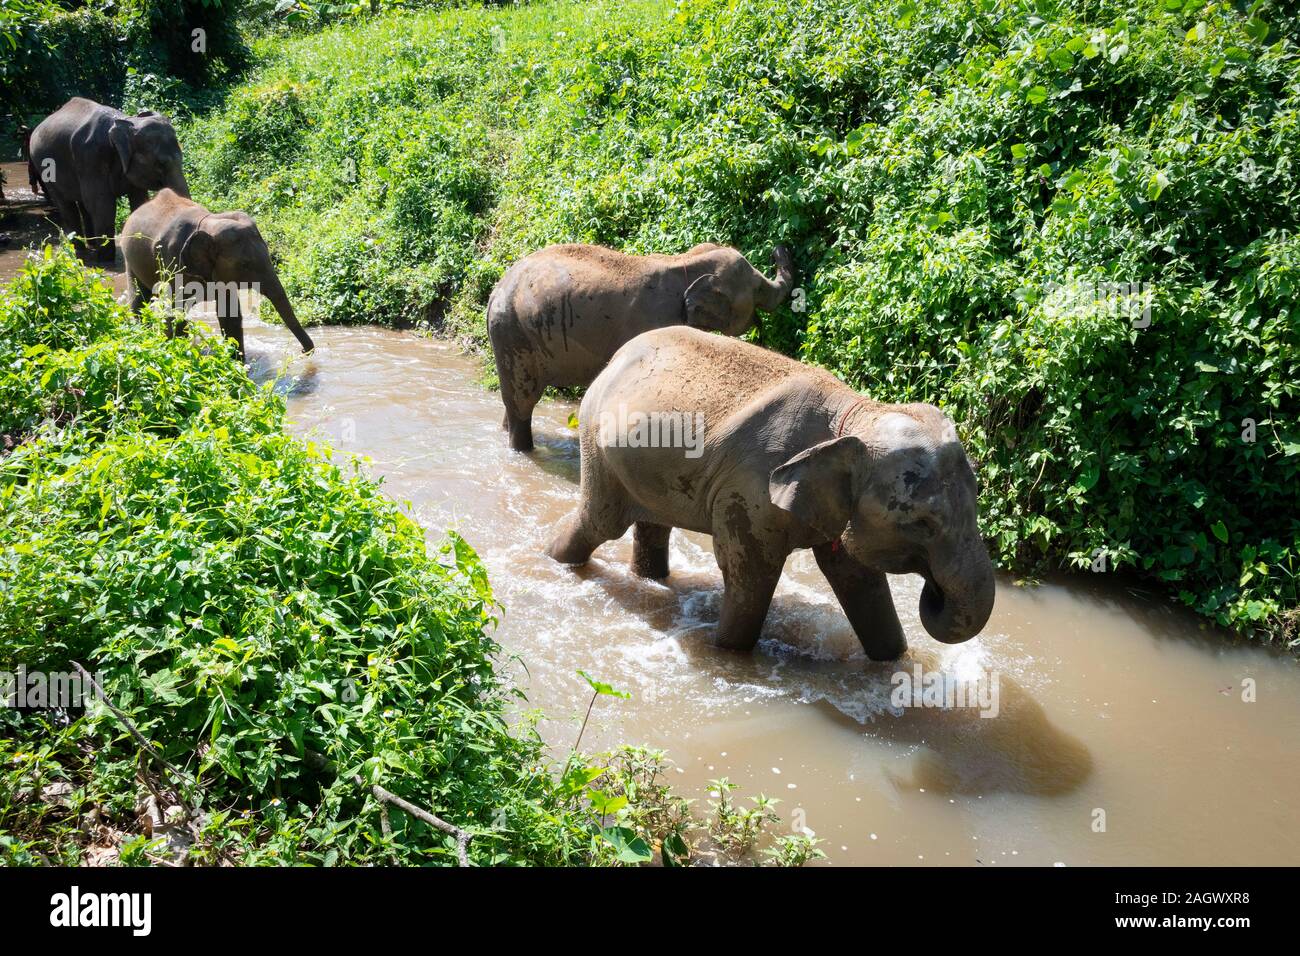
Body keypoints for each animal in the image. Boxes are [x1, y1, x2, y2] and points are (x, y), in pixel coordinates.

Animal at [28, 98, 190, 262]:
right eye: (161, 163)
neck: (127, 122)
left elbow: (139, 200)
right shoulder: (91, 157)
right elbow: (102, 204)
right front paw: (106, 260)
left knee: (83, 205)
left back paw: (92, 246)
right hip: (45, 169)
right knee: (67, 205)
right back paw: (80, 251)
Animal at [120, 189, 315, 360]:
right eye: (245, 265)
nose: (302, 352)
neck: (209, 223)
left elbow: (230, 316)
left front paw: (238, 367)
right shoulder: (173, 262)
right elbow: (175, 314)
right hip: (129, 258)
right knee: (139, 297)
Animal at [487, 242, 794, 452]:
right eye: (758, 289)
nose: (779, 248)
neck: (688, 262)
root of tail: (497, 288)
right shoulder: (657, 321)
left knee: (513, 400)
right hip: (514, 334)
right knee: (524, 399)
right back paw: (524, 450)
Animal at [546, 326, 996, 659]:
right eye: (921, 523)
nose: (933, 590)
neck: (855, 415)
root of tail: (615, 357)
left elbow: (857, 577)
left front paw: (894, 661)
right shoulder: (749, 493)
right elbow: (750, 573)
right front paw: (729, 654)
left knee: (651, 525)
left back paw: (649, 578)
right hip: (597, 445)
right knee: (599, 522)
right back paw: (554, 562)